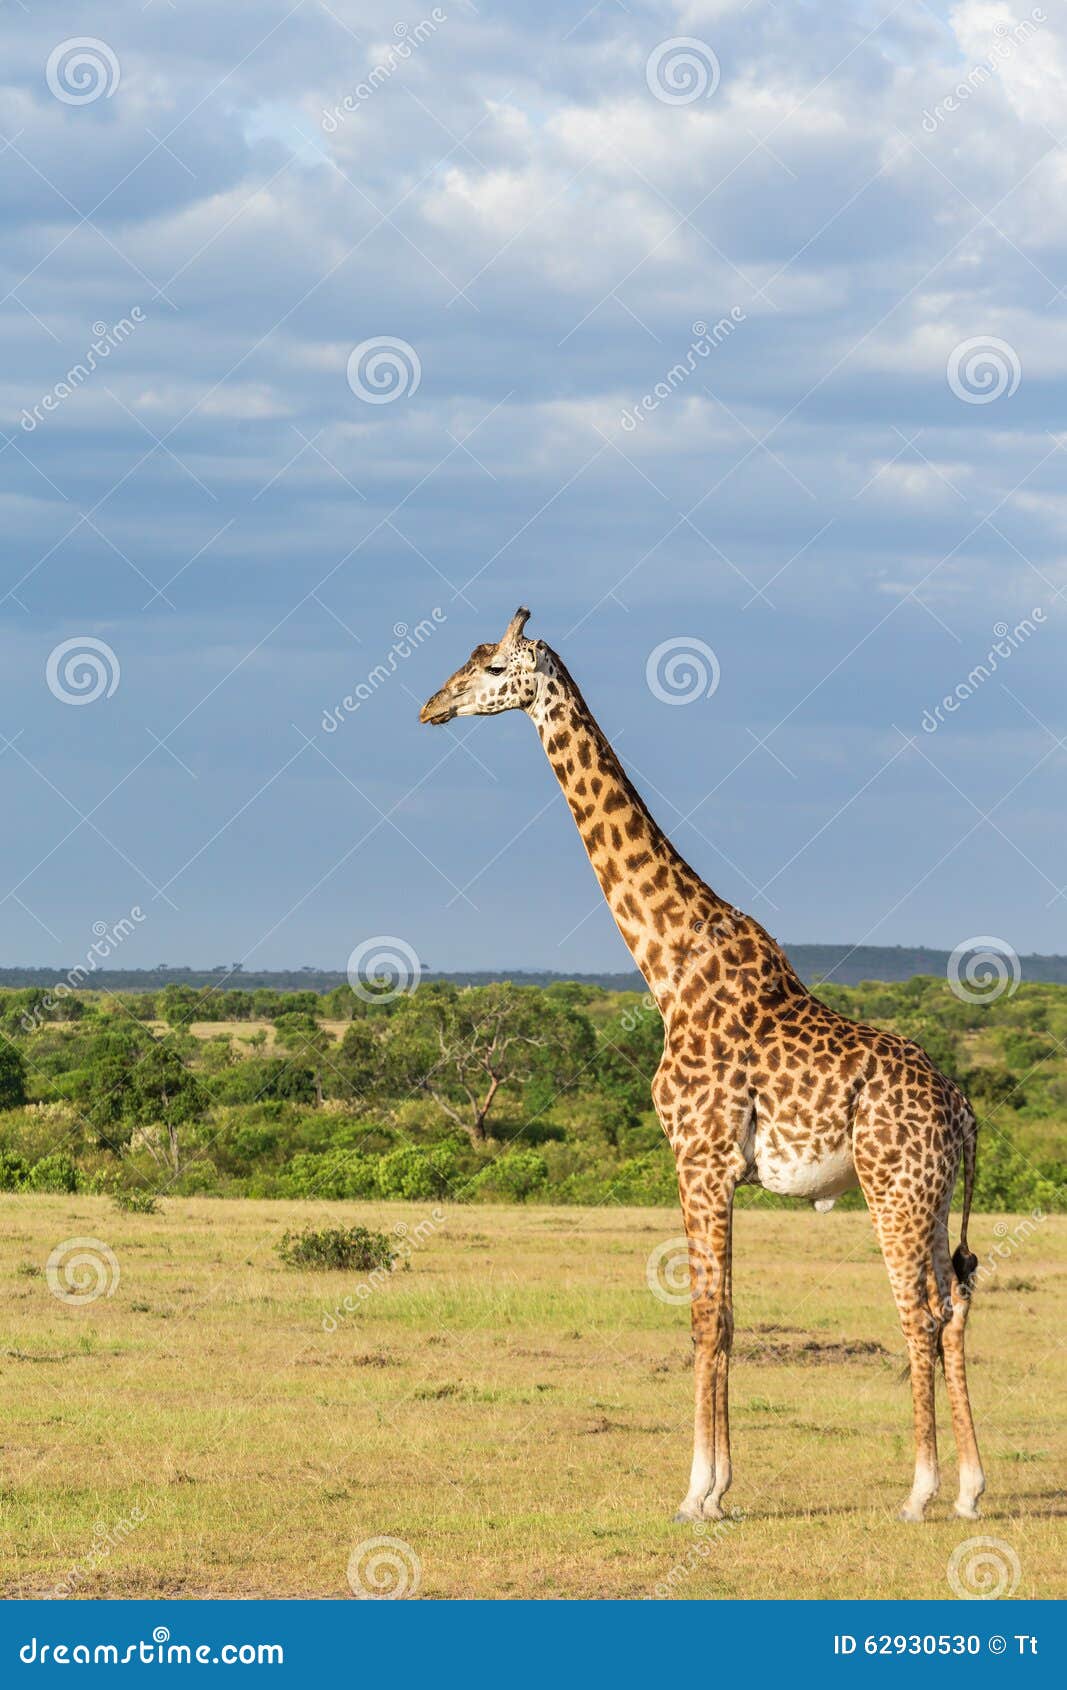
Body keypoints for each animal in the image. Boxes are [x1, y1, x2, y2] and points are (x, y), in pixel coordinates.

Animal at [420, 608, 985, 1524]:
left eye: (494, 666)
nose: (430, 706)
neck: (667, 965)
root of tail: (963, 1108)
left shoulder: (698, 1156)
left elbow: (704, 1318)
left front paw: (699, 1494)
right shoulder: (712, 1167)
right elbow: (726, 1315)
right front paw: (716, 1486)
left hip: (893, 1186)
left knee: (919, 1313)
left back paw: (920, 1490)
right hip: (932, 1198)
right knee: (956, 1307)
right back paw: (970, 1489)